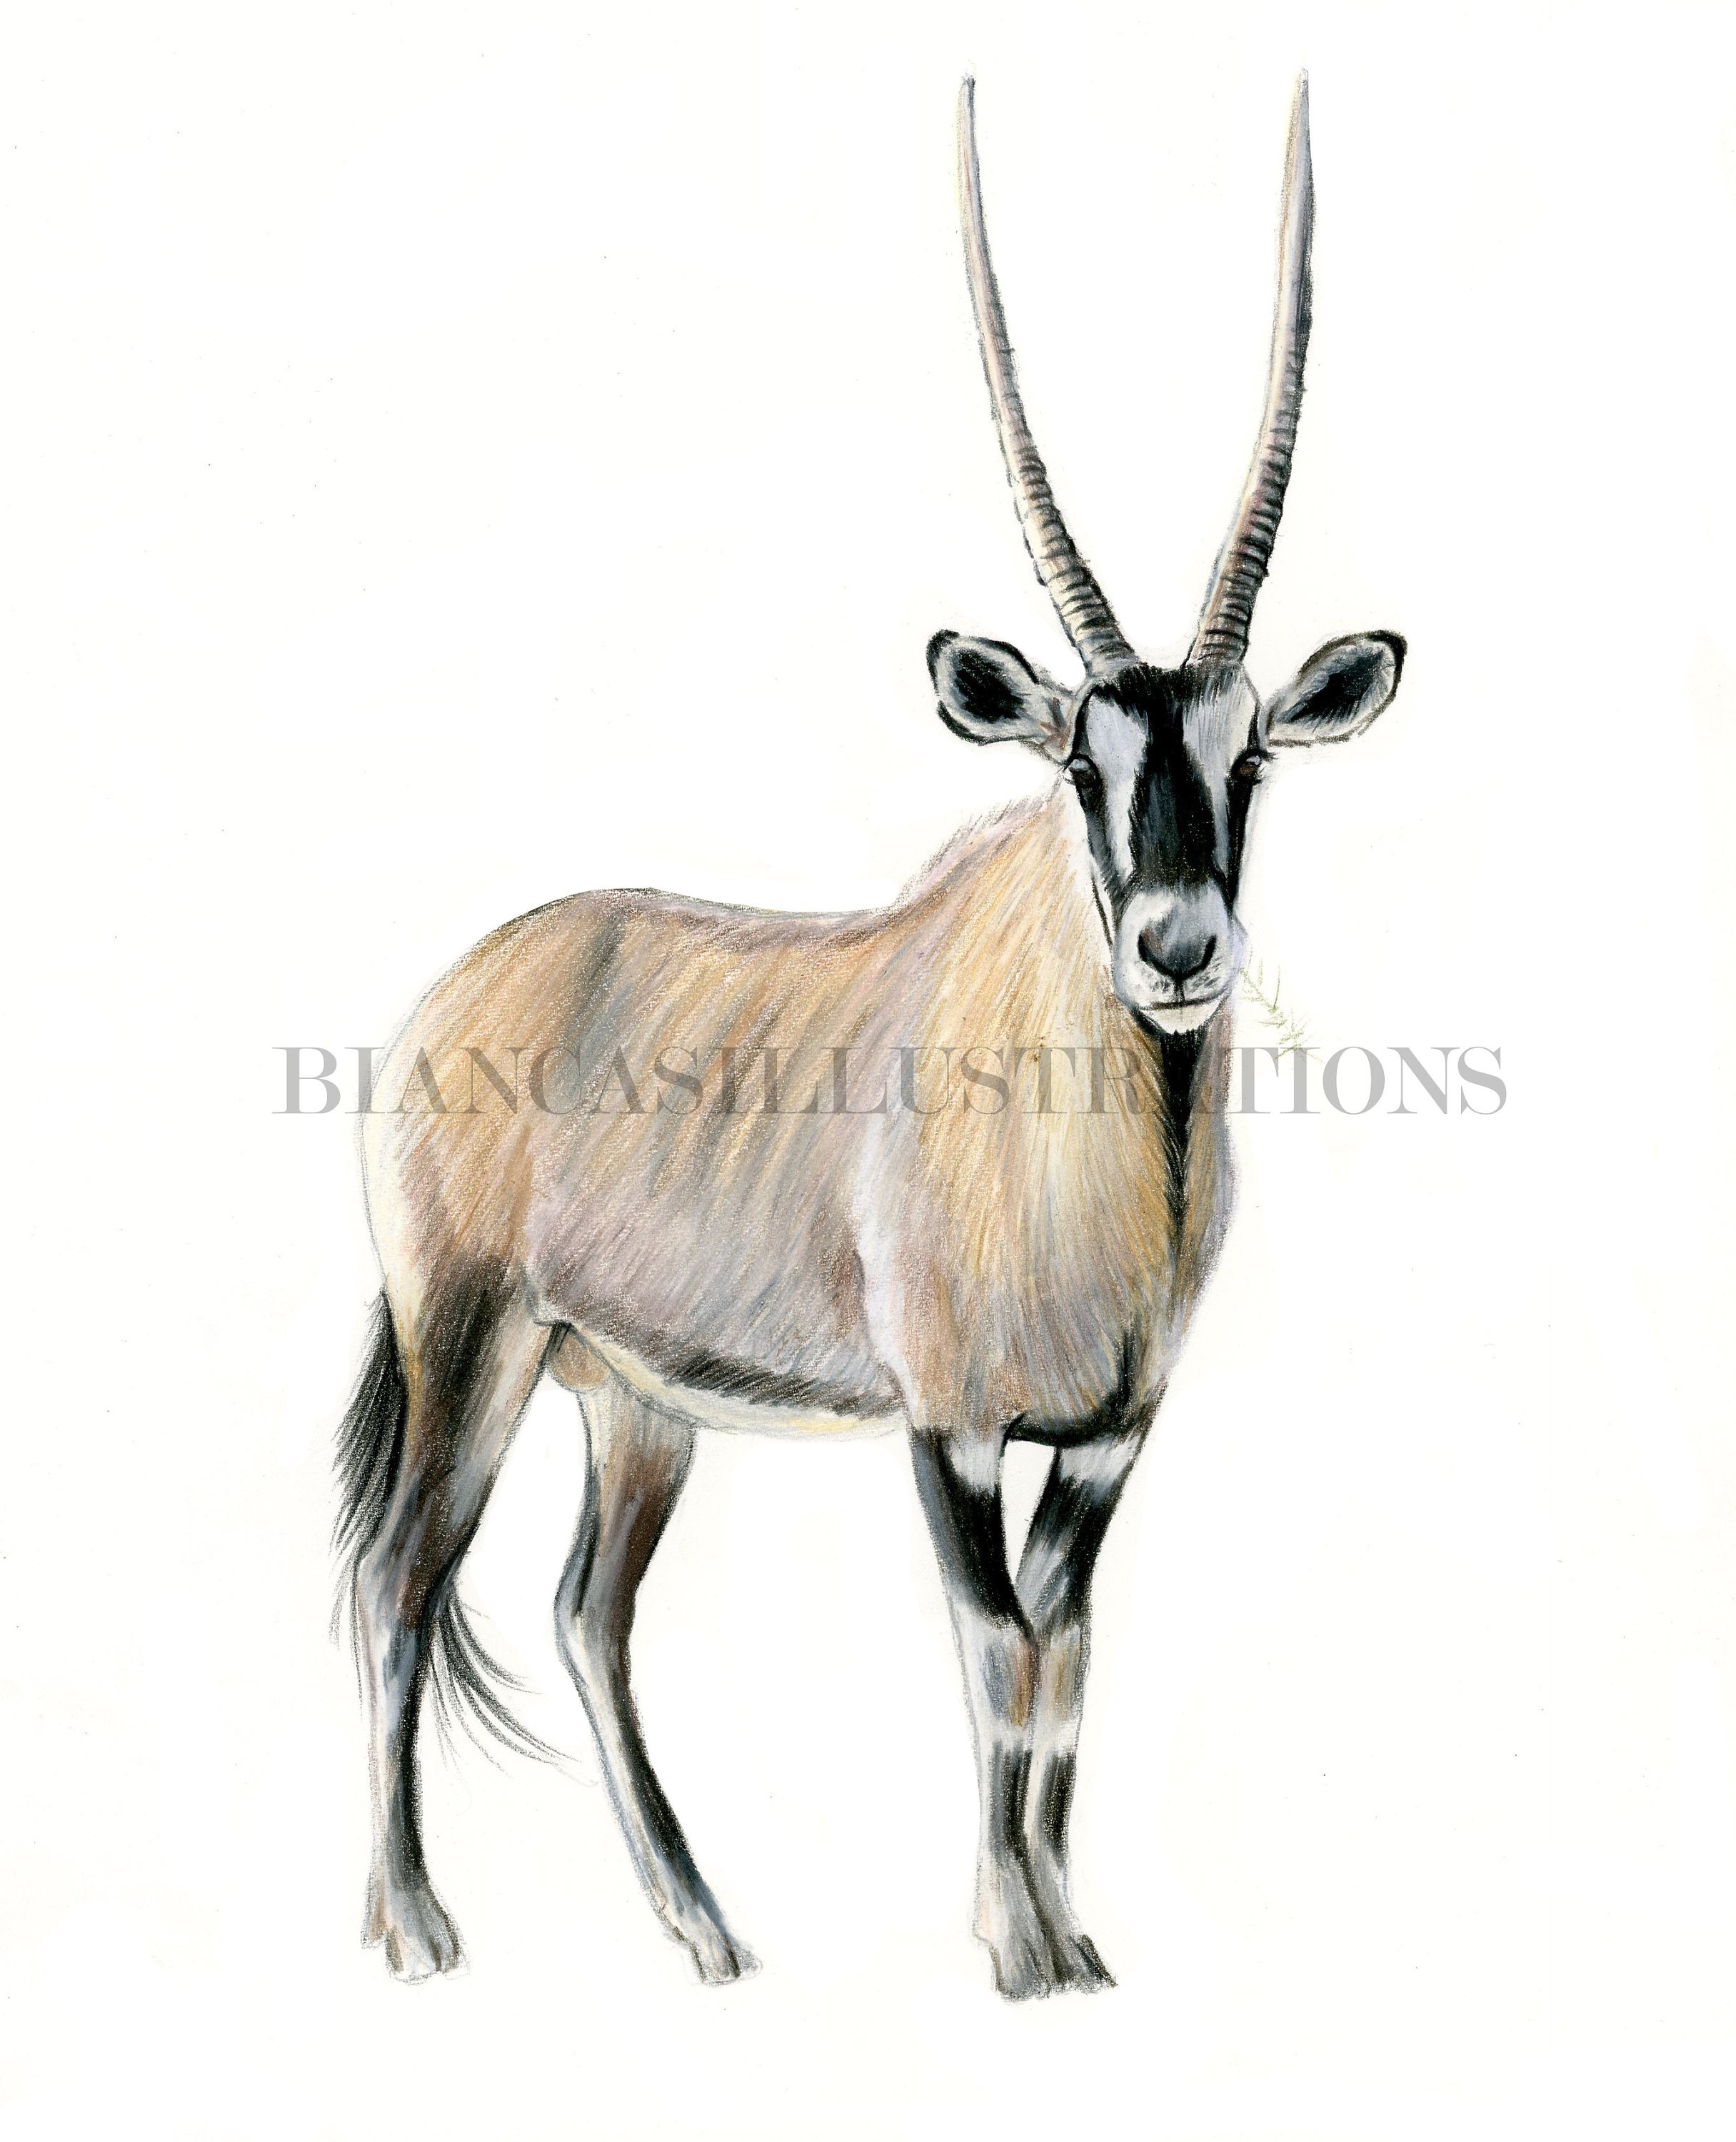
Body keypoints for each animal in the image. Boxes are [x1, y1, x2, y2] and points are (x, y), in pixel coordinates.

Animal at [337, 73, 1405, 1996]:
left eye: (1253, 759)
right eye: (1079, 764)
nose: (1179, 948)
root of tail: (467, 983)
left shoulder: (1105, 1440)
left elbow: (1066, 1666)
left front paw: (1071, 1943)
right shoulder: (950, 1426)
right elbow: (996, 1657)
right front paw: (1017, 1952)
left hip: (632, 1401)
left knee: (585, 1612)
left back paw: (706, 1928)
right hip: (470, 1343)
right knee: (399, 1577)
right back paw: (414, 1924)